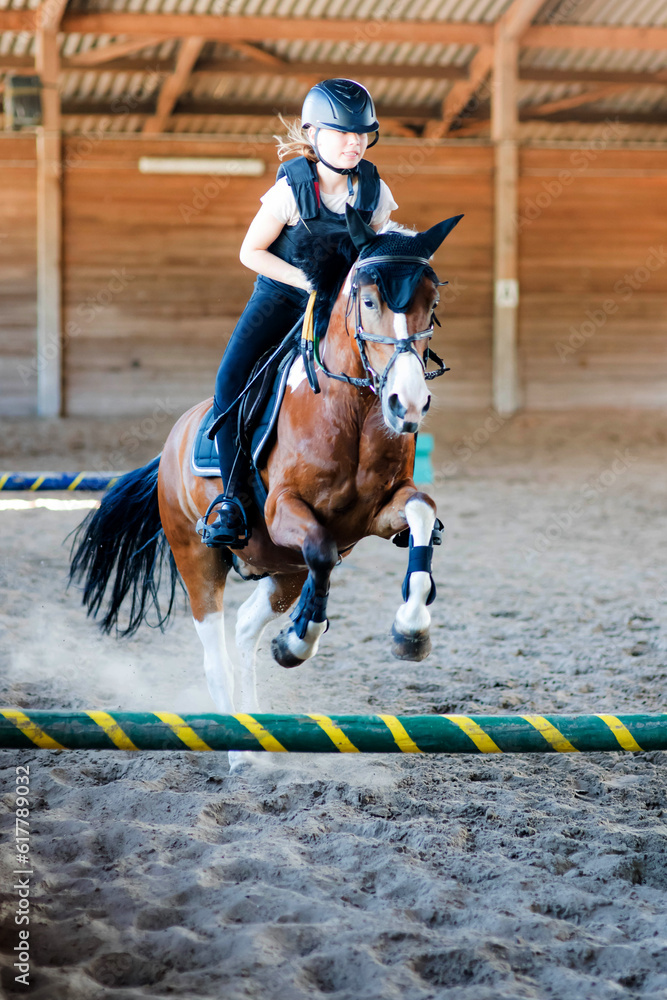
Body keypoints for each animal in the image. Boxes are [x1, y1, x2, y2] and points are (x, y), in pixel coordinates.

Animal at [70, 206, 462, 734]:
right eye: (369, 300)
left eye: (432, 302)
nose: (409, 403)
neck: (353, 411)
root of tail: (172, 441)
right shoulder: (283, 511)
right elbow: (321, 550)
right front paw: (297, 642)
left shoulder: (380, 510)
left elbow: (420, 513)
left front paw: (411, 630)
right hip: (198, 556)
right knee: (216, 656)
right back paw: (240, 743)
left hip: (281, 568)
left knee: (246, 625)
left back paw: (256, 722)